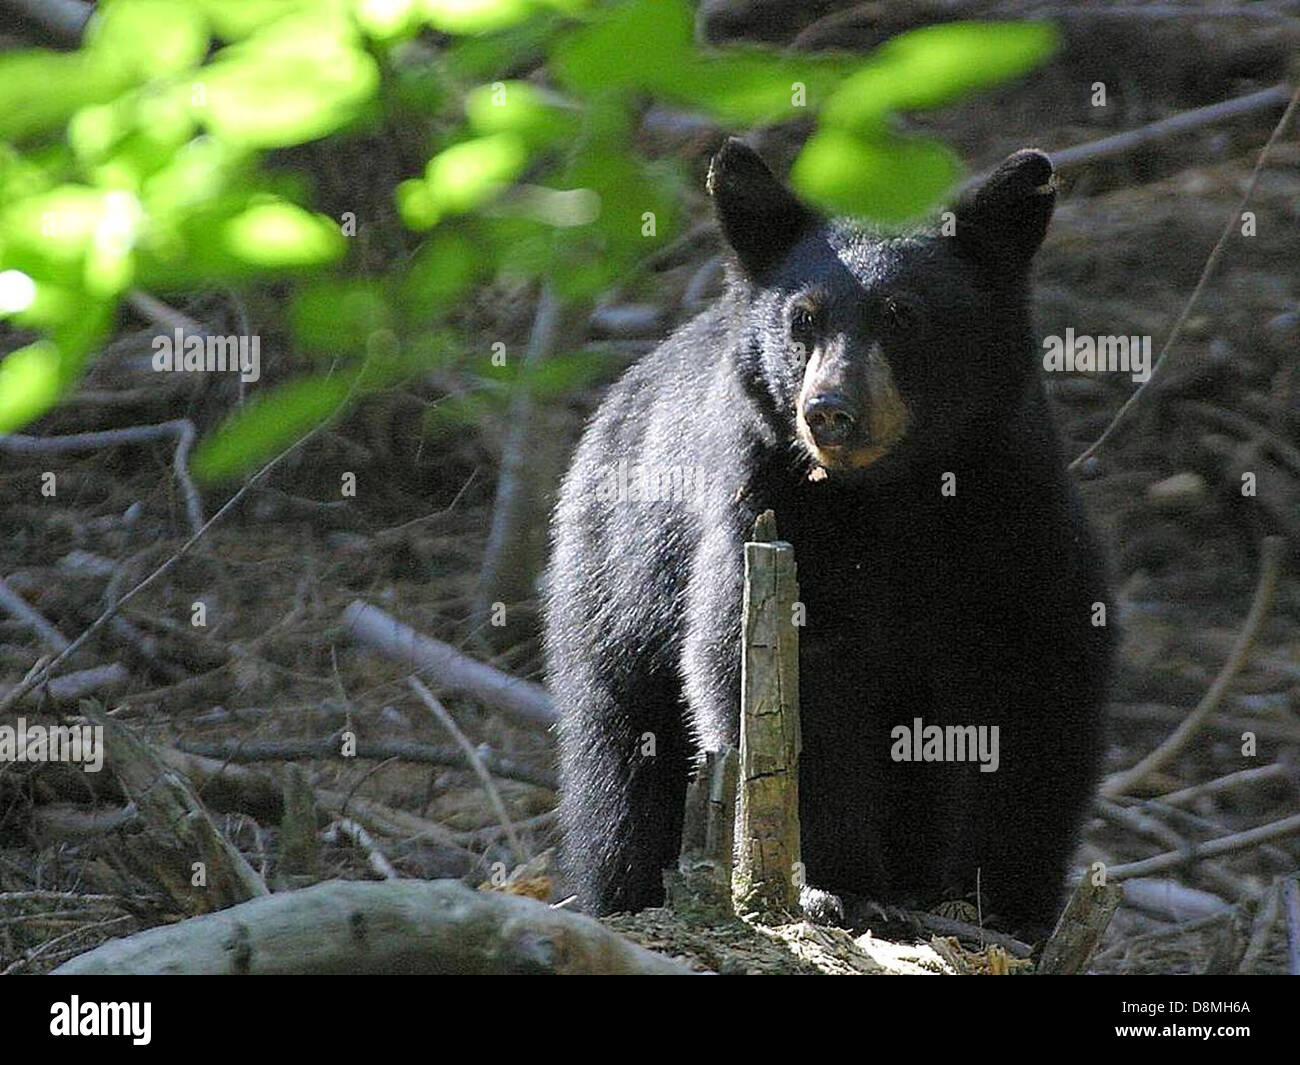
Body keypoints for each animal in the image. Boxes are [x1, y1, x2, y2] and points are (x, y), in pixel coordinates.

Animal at [543, 137, 1114, 940]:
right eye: (803, 320)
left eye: (903, 315)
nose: (830, 411)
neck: (896, 496)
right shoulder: (769, 515)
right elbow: (780, 684)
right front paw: (838, 885)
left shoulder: (1016, 515)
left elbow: (1039, 684)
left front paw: (1005, 904)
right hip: (616, 587)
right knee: (621, 762)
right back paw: (627, 889)